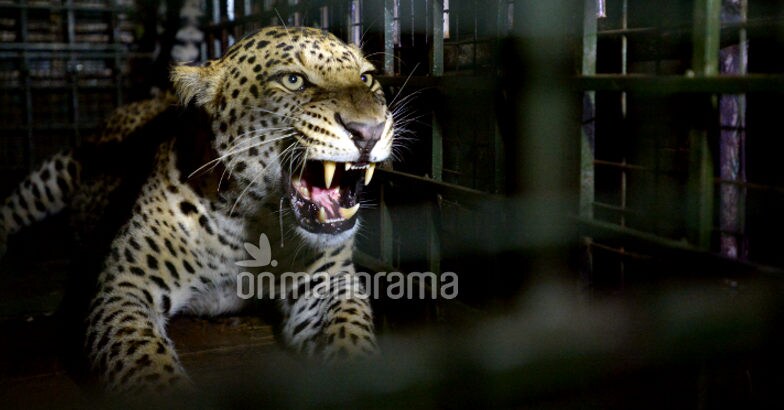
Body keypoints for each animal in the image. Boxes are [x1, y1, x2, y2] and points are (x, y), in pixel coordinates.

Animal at [0, 26, 394, 394]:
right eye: (293, 80)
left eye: (366, 78)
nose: (370, 130)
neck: (254, 222)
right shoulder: (124, 288)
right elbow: (144, 365)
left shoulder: (329, 283)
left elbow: (351, 335)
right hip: (59, 171)